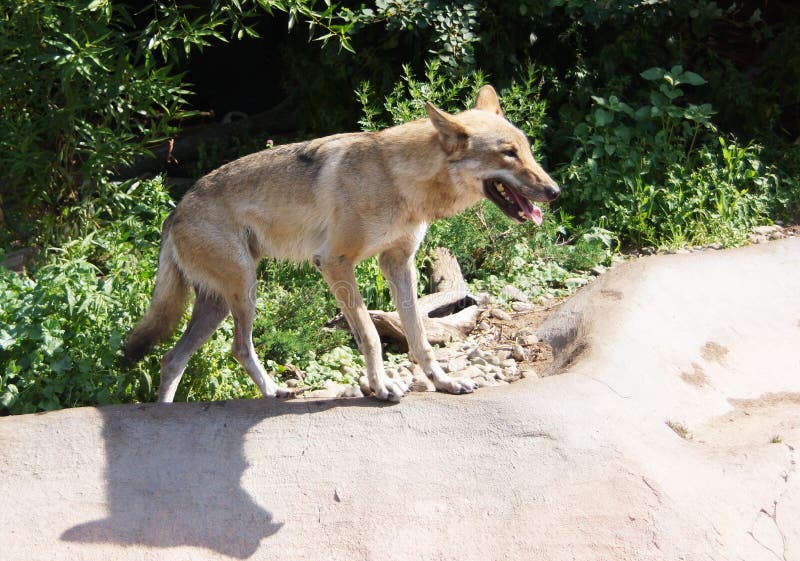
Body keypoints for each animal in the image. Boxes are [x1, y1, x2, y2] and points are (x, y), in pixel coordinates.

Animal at [123, 85, 560, 402]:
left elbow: (418, 336)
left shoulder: (398, 264)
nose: (554, 192)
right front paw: (381, 388)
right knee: (236, 348)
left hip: (219, 304)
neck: (398, 180)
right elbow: (370, 335)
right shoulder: (335, 262)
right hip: (244, 290)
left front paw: (443, 382)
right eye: (508, 153)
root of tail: (173, 212)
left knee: (173, 359)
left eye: (528, 150)